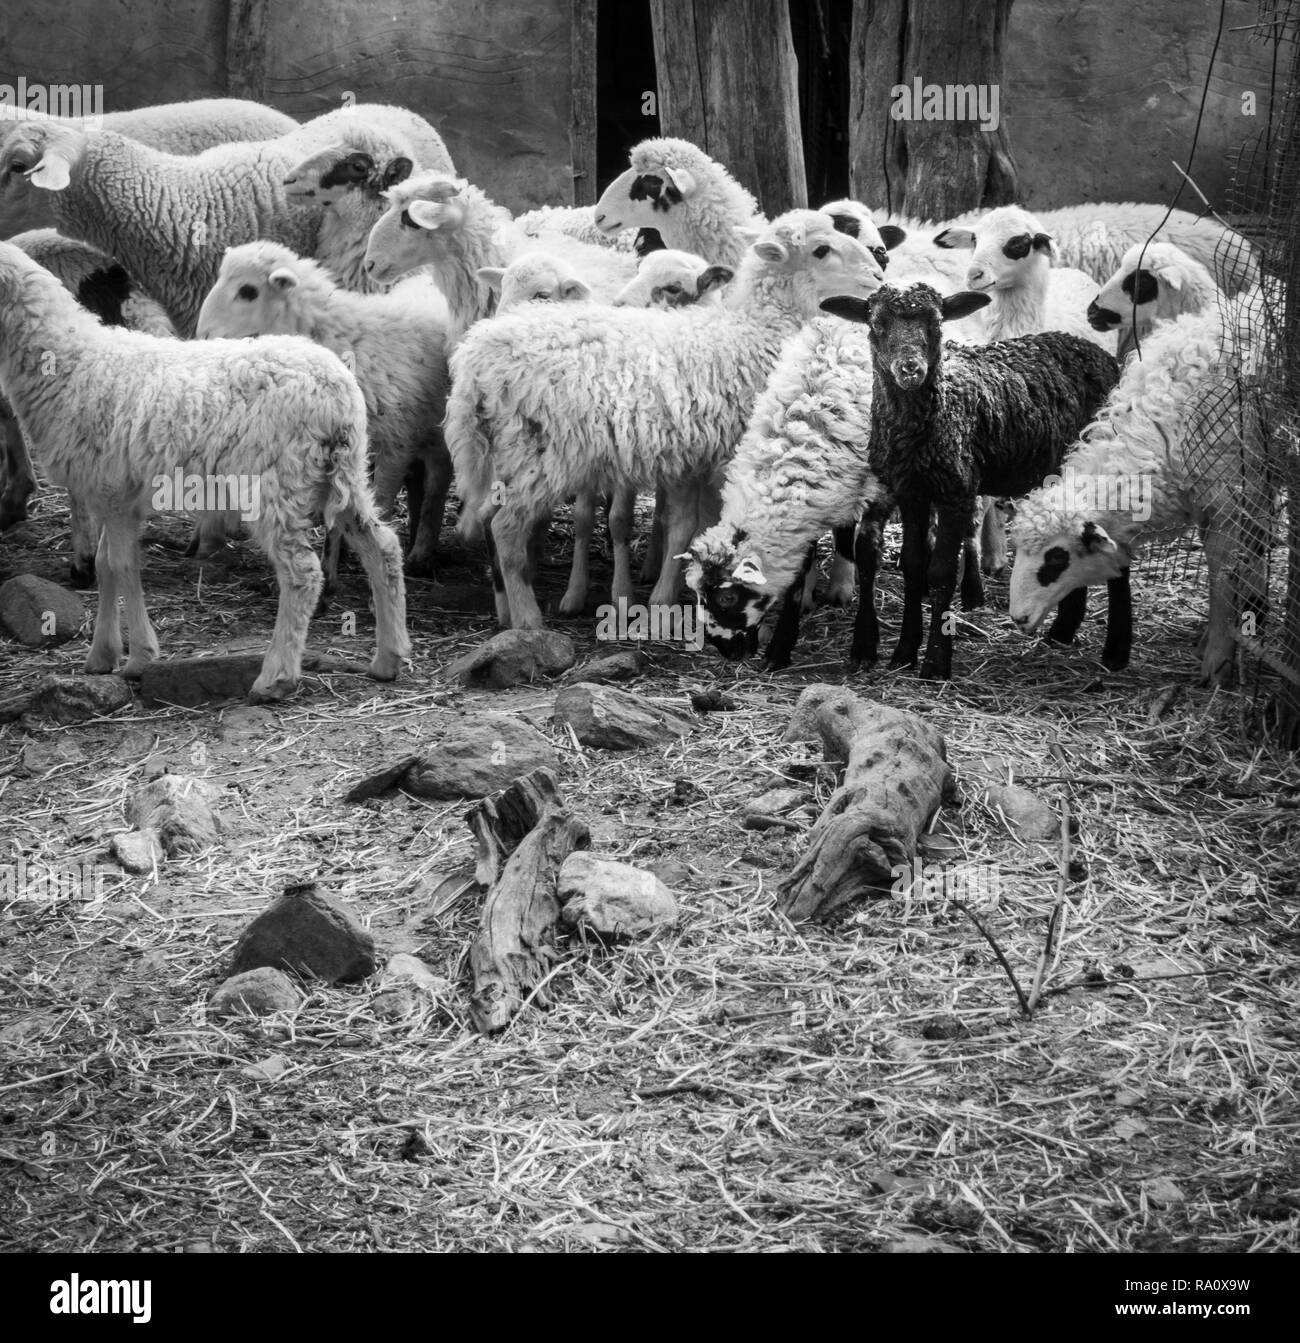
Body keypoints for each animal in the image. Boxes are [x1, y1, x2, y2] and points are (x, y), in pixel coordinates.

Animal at [0, 240, 409, 701]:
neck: (73, 360)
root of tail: (335, 389)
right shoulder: (112, 492)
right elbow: (107, 566)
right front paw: (102, 656)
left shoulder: (113, 492)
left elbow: (121, 566)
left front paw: (139, 657)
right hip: (343, 473)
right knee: (383, 548)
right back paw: (388, 658)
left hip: (275, 483)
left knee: (301, 573)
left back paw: (276, 676)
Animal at [196, 241, 451, 579]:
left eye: (248, 291)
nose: (203, 334)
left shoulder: (396, 444)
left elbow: (380, 504)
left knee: (439, 480)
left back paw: (422, 551)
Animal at [443, 209, 884, 632]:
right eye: (821, 250)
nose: (879, 274)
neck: (754, 332)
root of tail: (475, 359)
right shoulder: (728, 461)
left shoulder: (694, 459)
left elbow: (686, 527)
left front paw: (667, 599)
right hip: (544, 454)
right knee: (506, 528)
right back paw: (528, 621)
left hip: (506, 451)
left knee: (490, 519)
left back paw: (506, 610)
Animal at [820, 282, 1120, 679]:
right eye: (877, 324)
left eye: (936, 323)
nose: (911, 369)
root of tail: (1100, 354)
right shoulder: (911, 491)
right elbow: (913, 565)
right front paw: (904, 652)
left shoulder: (956, 490)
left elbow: (941, 571)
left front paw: (935, 663)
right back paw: (1062, 632)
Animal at [1007, 300, 1266, 686]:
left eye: (1056, 558)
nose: (1018, 617)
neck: (1165, 428)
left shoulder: (1228, 498)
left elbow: (1222, 575)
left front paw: (1217, 662)